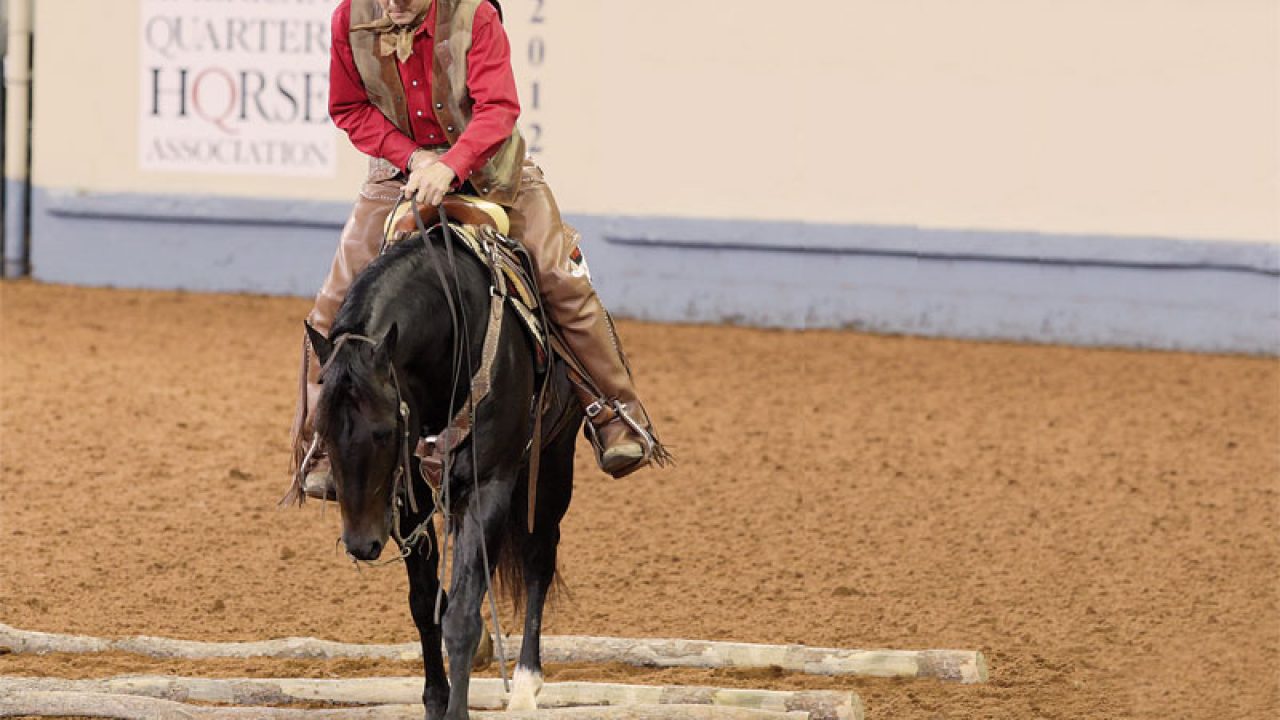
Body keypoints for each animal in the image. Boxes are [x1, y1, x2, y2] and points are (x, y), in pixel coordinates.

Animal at [304, 220, 581, 720]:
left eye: (382, 431)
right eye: (322, 431)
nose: (361, 544)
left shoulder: (487, 486)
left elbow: (462, 614)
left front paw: (457, 707)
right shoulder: (406, 496)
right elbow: (423, 602)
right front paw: (436, 698)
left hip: (552, 464)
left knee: (539, 558)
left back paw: (525, 685)